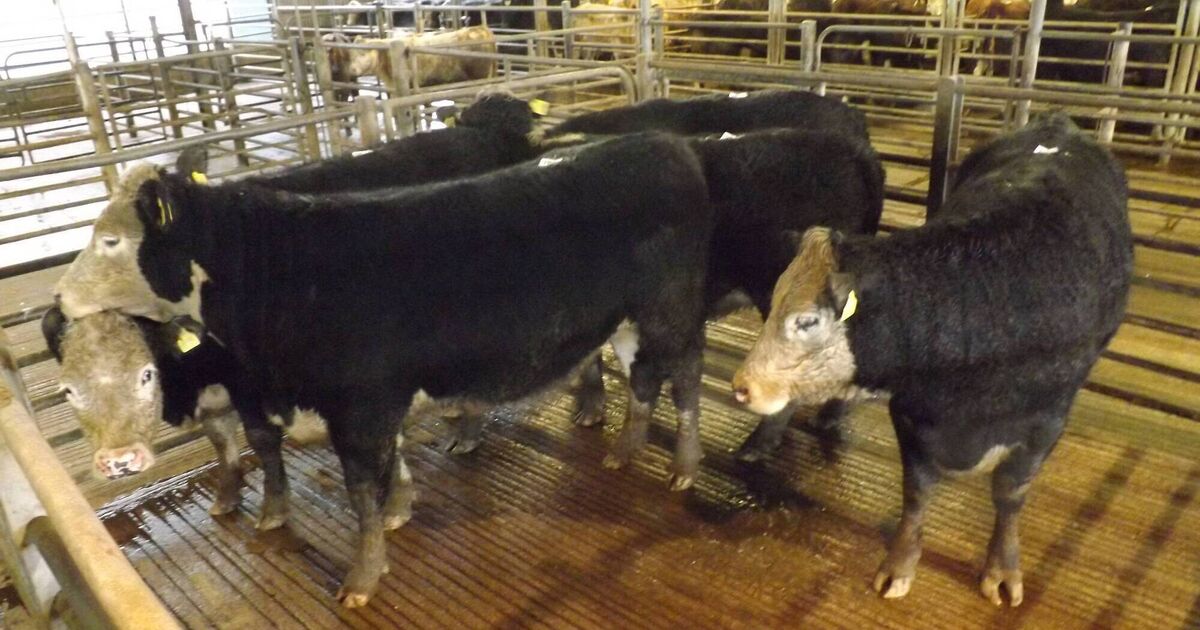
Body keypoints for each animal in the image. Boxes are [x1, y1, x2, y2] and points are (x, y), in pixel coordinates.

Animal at [54, 132, 715, 607]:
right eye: (69, 389)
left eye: (111, 240)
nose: (59, 298)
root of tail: (658, 142)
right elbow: (382, 466)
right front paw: (401, 508)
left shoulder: (360, 407)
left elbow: (360, 492)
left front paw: (363, 577)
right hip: (627, 322)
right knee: (642, 379)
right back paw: (625, 451)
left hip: (672, 311)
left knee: (684, 378)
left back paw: (683, 467)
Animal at [731, 113, 1133, 606]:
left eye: (807, 321)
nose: (743, 386)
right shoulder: (911, 413)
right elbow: (917, 493)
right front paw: (900, 564)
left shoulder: (1047, 422)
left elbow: (1010, 494)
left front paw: (1002, 565)